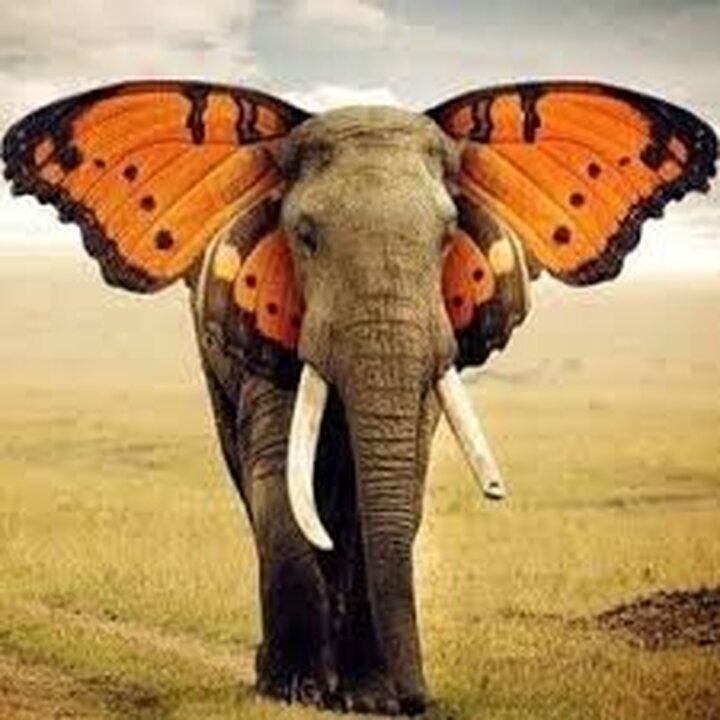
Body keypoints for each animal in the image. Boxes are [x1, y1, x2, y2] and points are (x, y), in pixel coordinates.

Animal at [2, 79, 716, 715]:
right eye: (305, 237)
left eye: (447, 235)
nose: (419, 700)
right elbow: (277, 480)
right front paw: (295, 692)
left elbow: (401, 484)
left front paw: (370, 700)